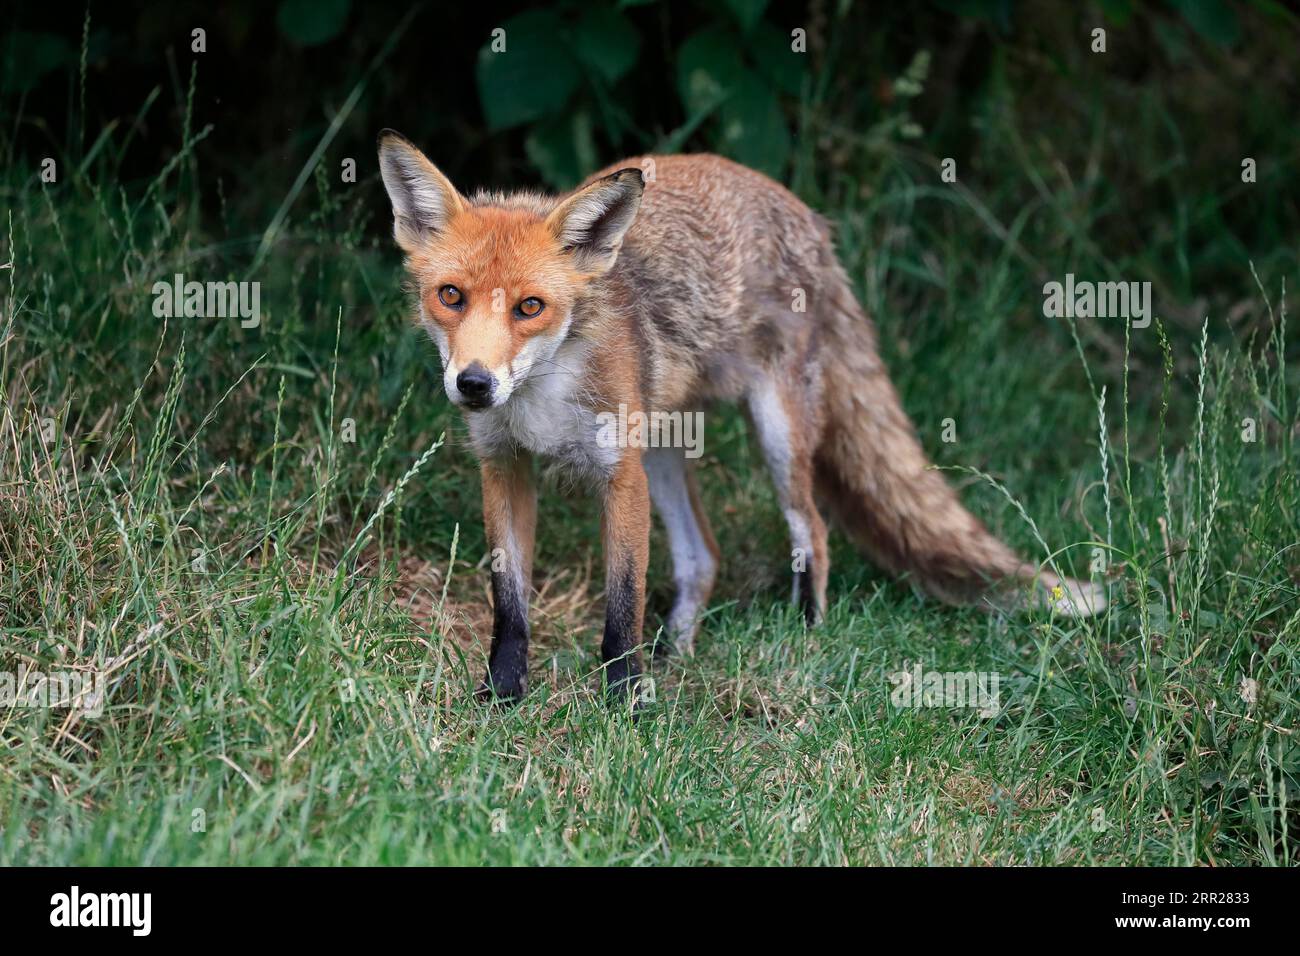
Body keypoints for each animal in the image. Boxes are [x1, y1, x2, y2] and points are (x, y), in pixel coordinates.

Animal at [377, 130, 1105, 706]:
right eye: (450, 296)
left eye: (530, 307)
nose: (474, 384)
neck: (541, 397)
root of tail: (804, 213)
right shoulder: (503, 464)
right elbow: (511, 604)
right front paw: (502, 694)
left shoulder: (619, 474)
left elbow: (621, 605)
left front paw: (625, 704)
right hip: (666, 446)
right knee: (704, 555)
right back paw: (676, 654)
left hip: (775, 437)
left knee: (814, 533)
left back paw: (803, 641)